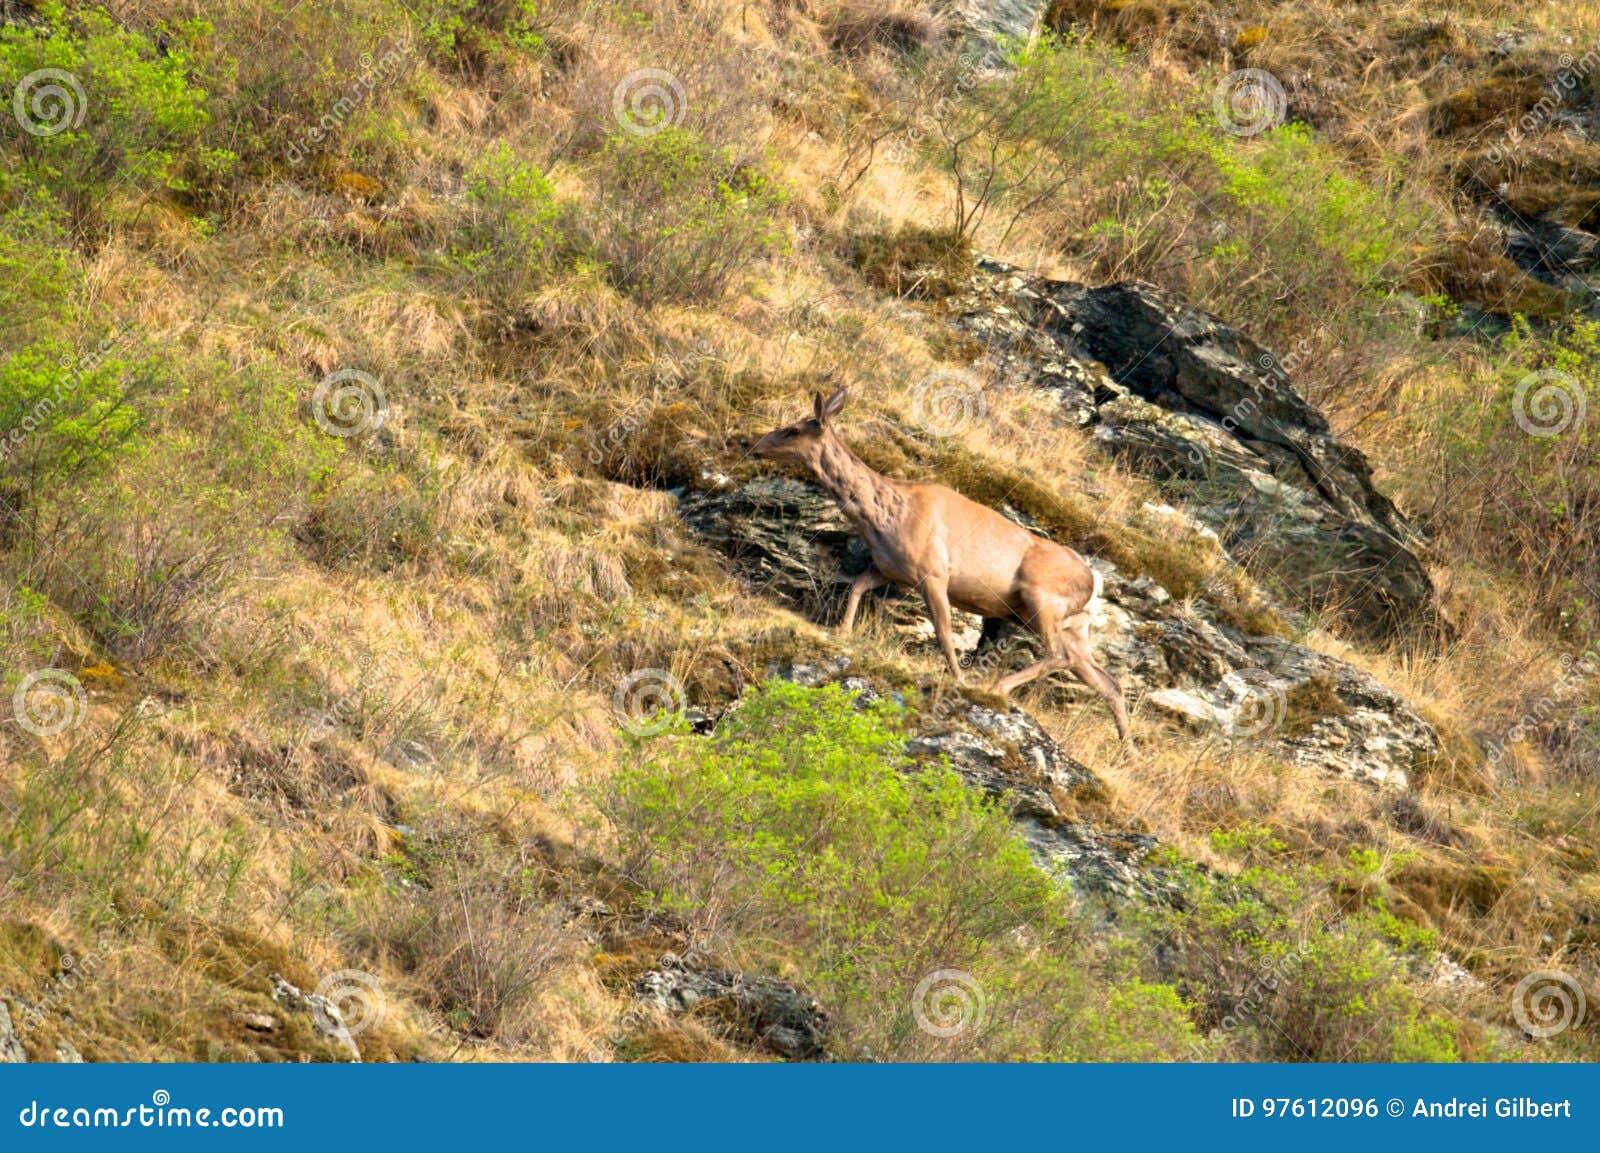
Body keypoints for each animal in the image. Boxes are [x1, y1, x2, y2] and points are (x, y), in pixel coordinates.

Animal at [748, 387, 1132, 745]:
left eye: (794, 429)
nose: (753, 445)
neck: (883, 518)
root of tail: (1095, 581)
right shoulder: (887, 567)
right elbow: (856, 585)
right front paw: (842, 630)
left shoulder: (934, 573)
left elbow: (945, 634)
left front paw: (959, 678)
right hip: (1075, 625)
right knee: (1107, 681)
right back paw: (1128, 748)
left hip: (1043, 599)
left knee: (1059, 656)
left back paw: (998, 687)